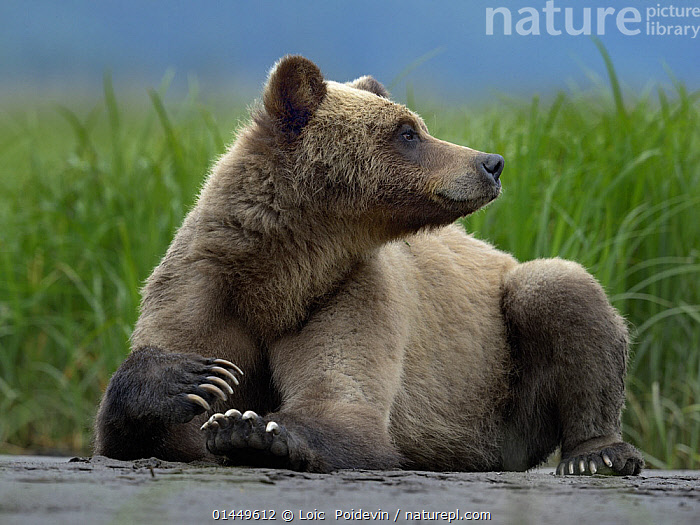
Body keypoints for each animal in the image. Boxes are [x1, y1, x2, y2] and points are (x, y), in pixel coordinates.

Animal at [94, 55, 644, 476]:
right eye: (407, 132)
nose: (491, 163)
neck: (281, 274)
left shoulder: (349, 289)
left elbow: (344, 404)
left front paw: (254, 428)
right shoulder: (204, 286)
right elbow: (157, 421)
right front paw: (191, 378)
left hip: (500, 388)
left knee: (558, 289)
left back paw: (598, 454)